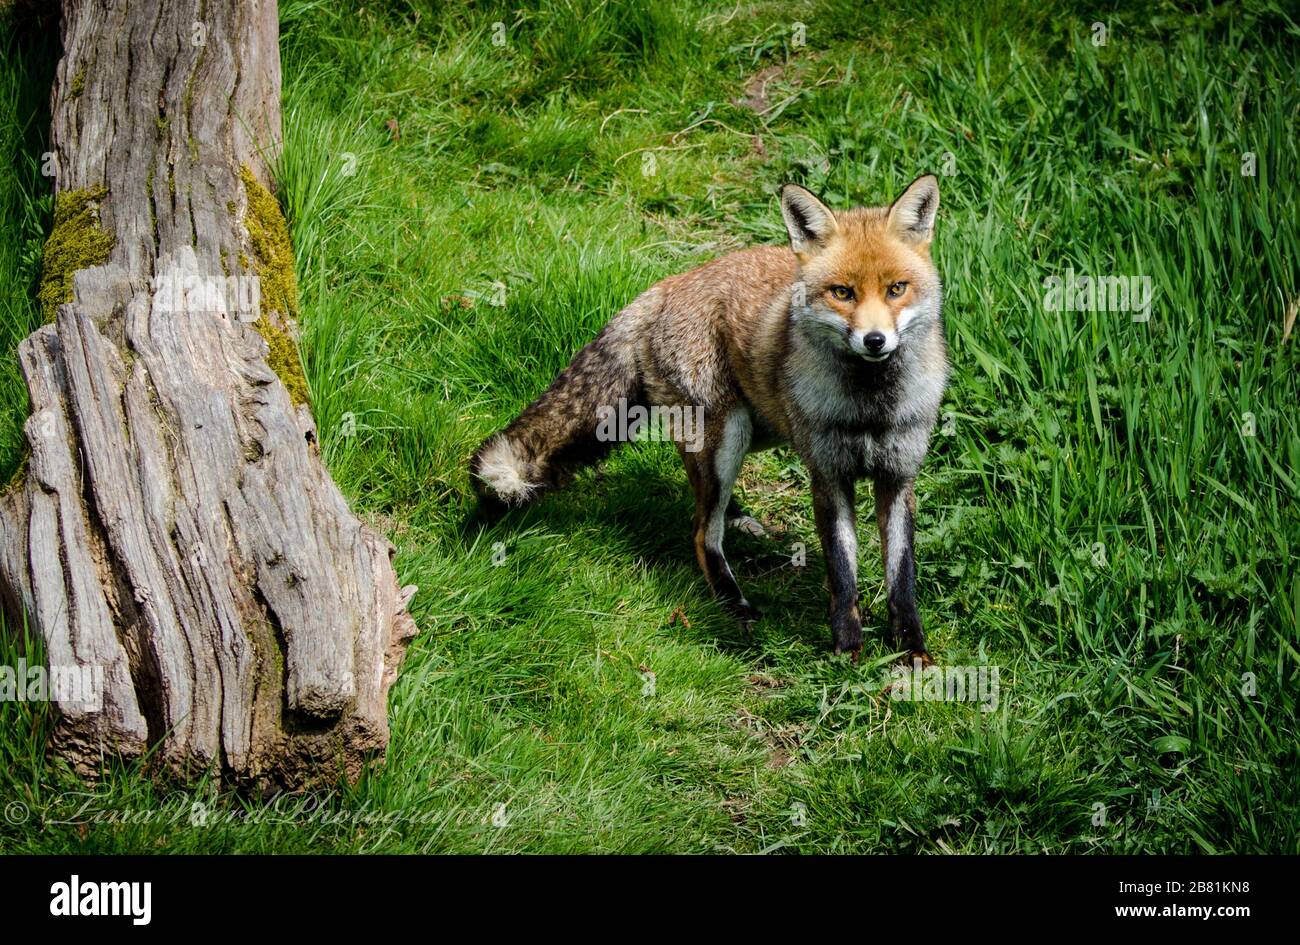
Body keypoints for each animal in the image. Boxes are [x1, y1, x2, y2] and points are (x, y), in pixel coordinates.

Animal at [470, 175, 948, 662]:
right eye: (842, 293)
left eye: (896, 289)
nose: (875, 340)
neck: (871, 409)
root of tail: (667, 284)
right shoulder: (829, 476)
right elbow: (843, 571)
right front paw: (848, 648)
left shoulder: (898, 475)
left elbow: (901, 576)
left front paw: (912, 651)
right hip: (727, 433)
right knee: (702, 530)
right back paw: (734, 604)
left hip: (758, 428)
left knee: (706, 502)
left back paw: (737, 518)